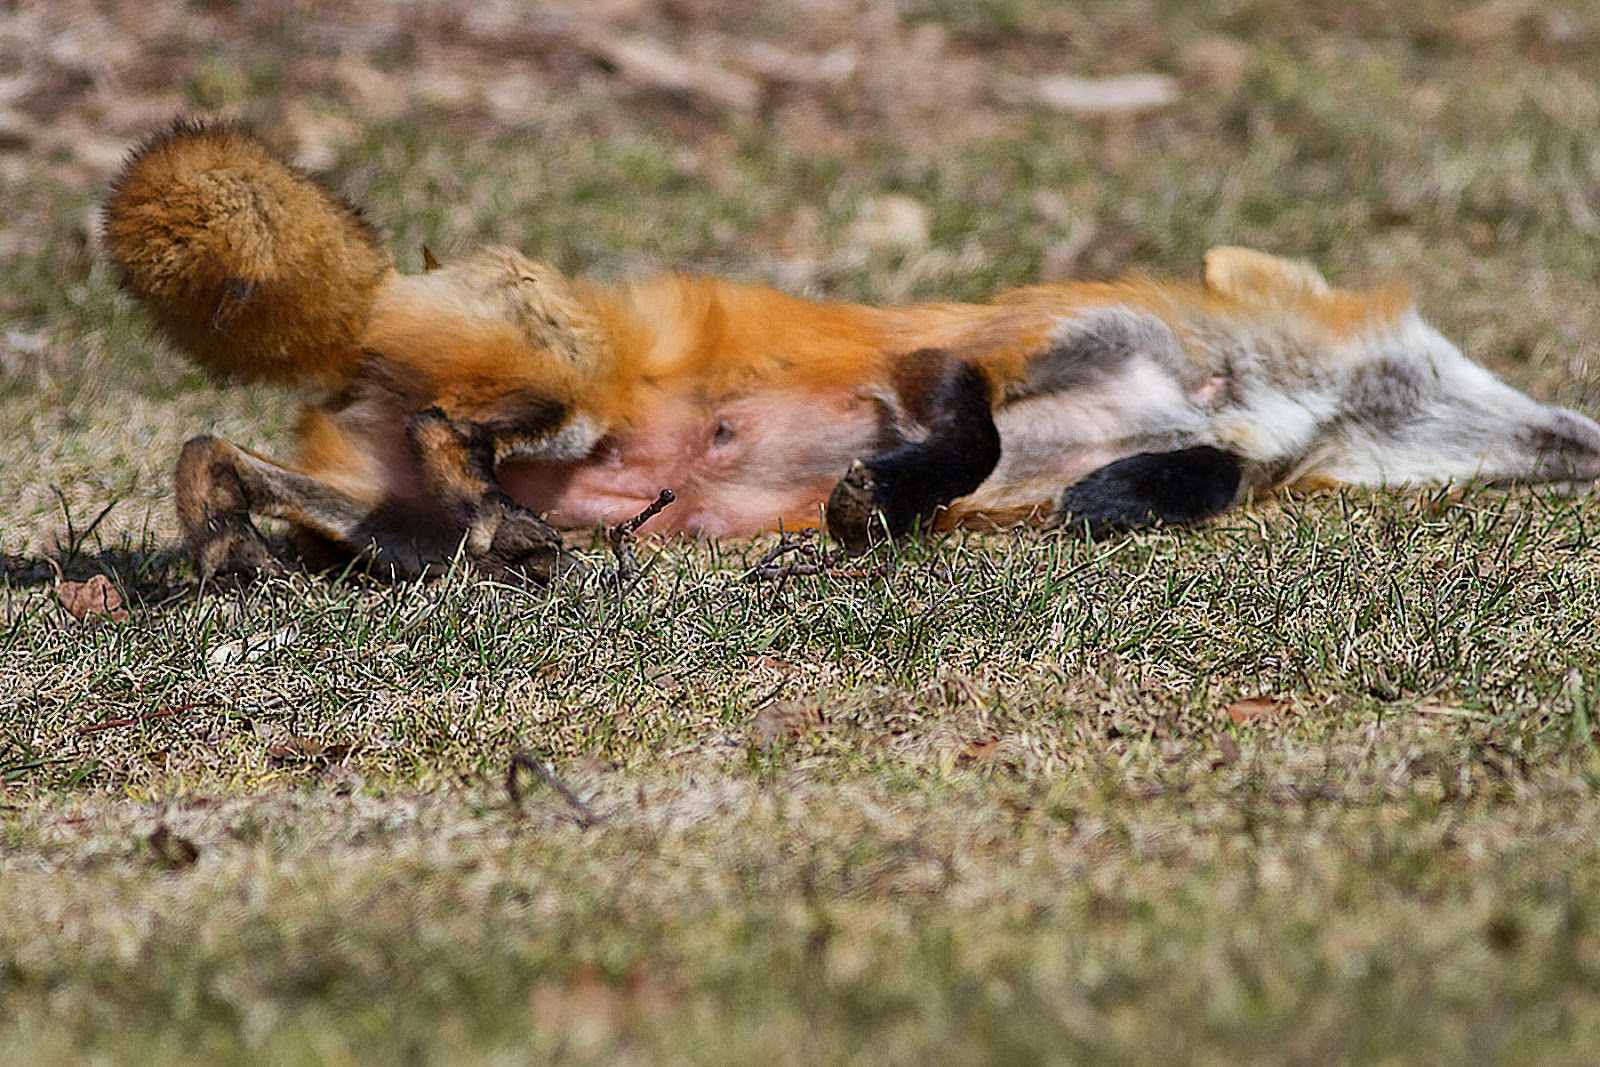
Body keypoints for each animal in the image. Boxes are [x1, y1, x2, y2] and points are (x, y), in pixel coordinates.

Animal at [101, 119, 1600, 583]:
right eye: (1436, 375)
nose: (1587, 431)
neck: (1216, 385)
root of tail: (379, 292)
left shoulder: (1207, 447)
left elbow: (1197, 479)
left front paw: (1103, 500)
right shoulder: (969, 352)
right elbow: (972, 434)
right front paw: (878, 500)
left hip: (391, 534)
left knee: (218, 448)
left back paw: (225, 528)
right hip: (559, 384)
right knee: (451, 435)